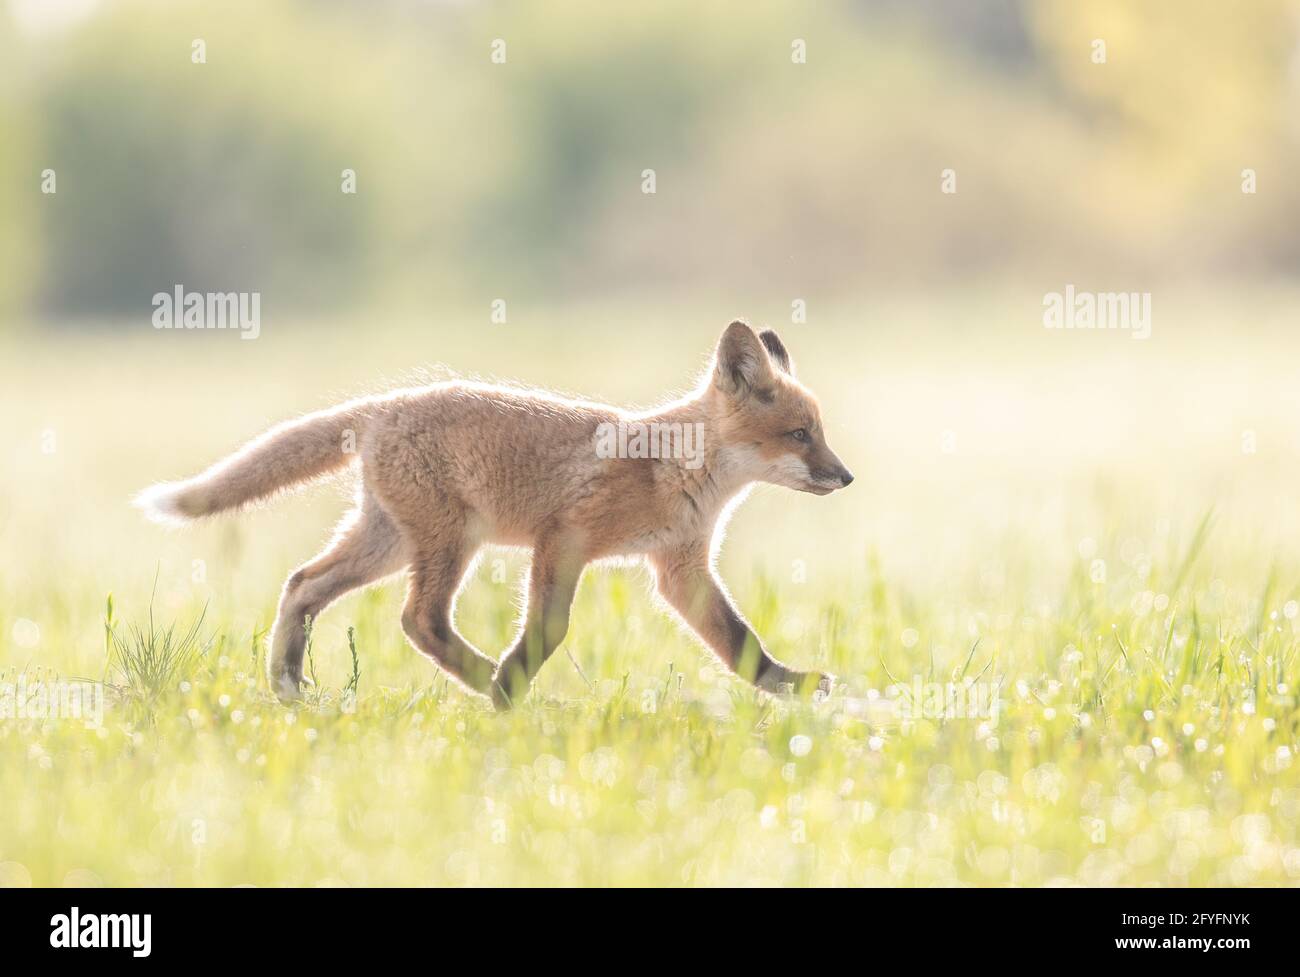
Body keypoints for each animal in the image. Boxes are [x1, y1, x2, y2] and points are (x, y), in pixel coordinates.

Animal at [135, 319, 854, 708]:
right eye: (799, 435)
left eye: (819, 434)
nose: (847, 477)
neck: (673, 470)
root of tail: (382, 406)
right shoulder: (563, 538)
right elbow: (549, 630)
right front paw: (512, 687)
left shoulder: (679, 568)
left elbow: (739, 643)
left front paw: (789, 685)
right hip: (449, 543)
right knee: (417, 620)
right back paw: (484, 680)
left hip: (390, 543)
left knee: (302, 584)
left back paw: (287, 683)